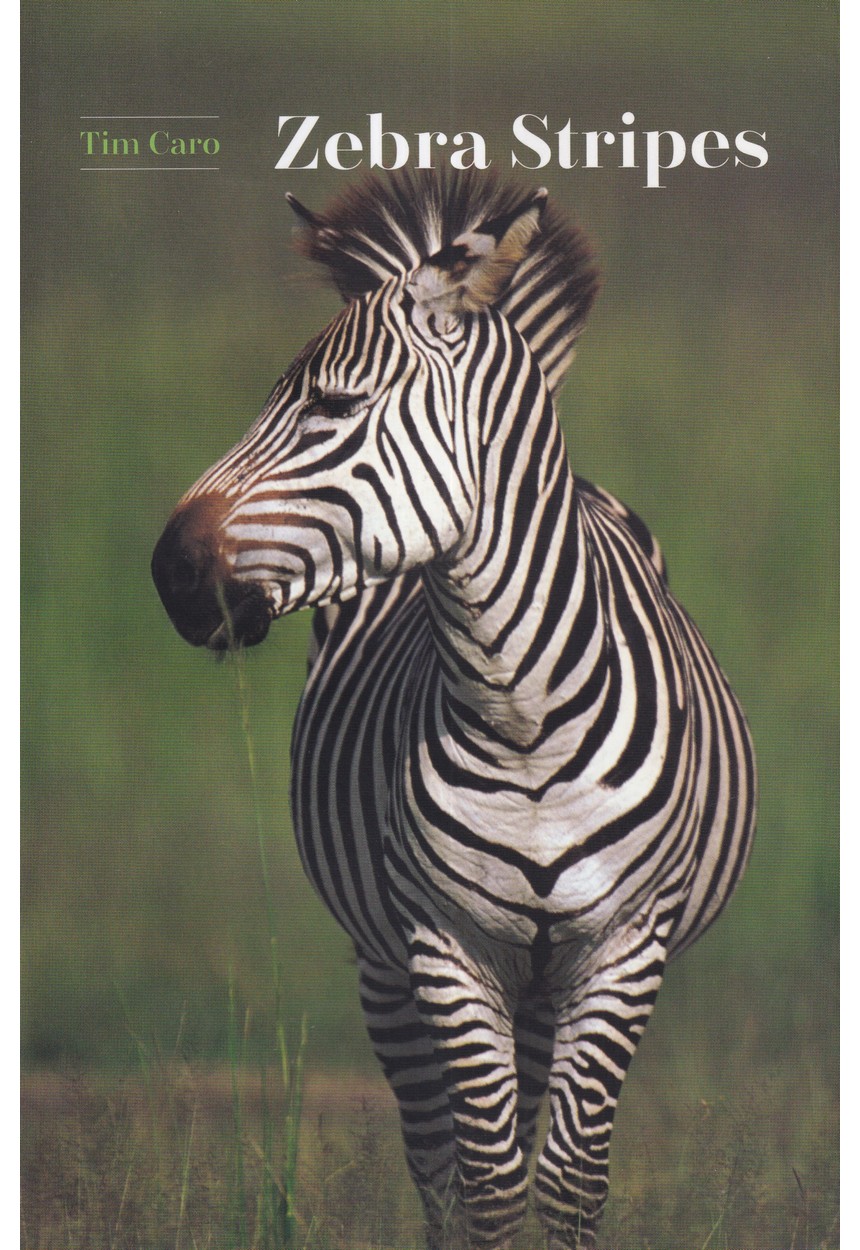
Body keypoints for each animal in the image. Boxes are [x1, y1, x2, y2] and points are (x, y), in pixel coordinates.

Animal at [151, 172, 756, 1250]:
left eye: (332, 406)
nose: (167, 571)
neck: (519, 713)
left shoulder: (622, 945)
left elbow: (565, 1183)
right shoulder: (445, 946)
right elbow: (485, 1183)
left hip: (544, 981)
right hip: (388, 969)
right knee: (435, 1162)